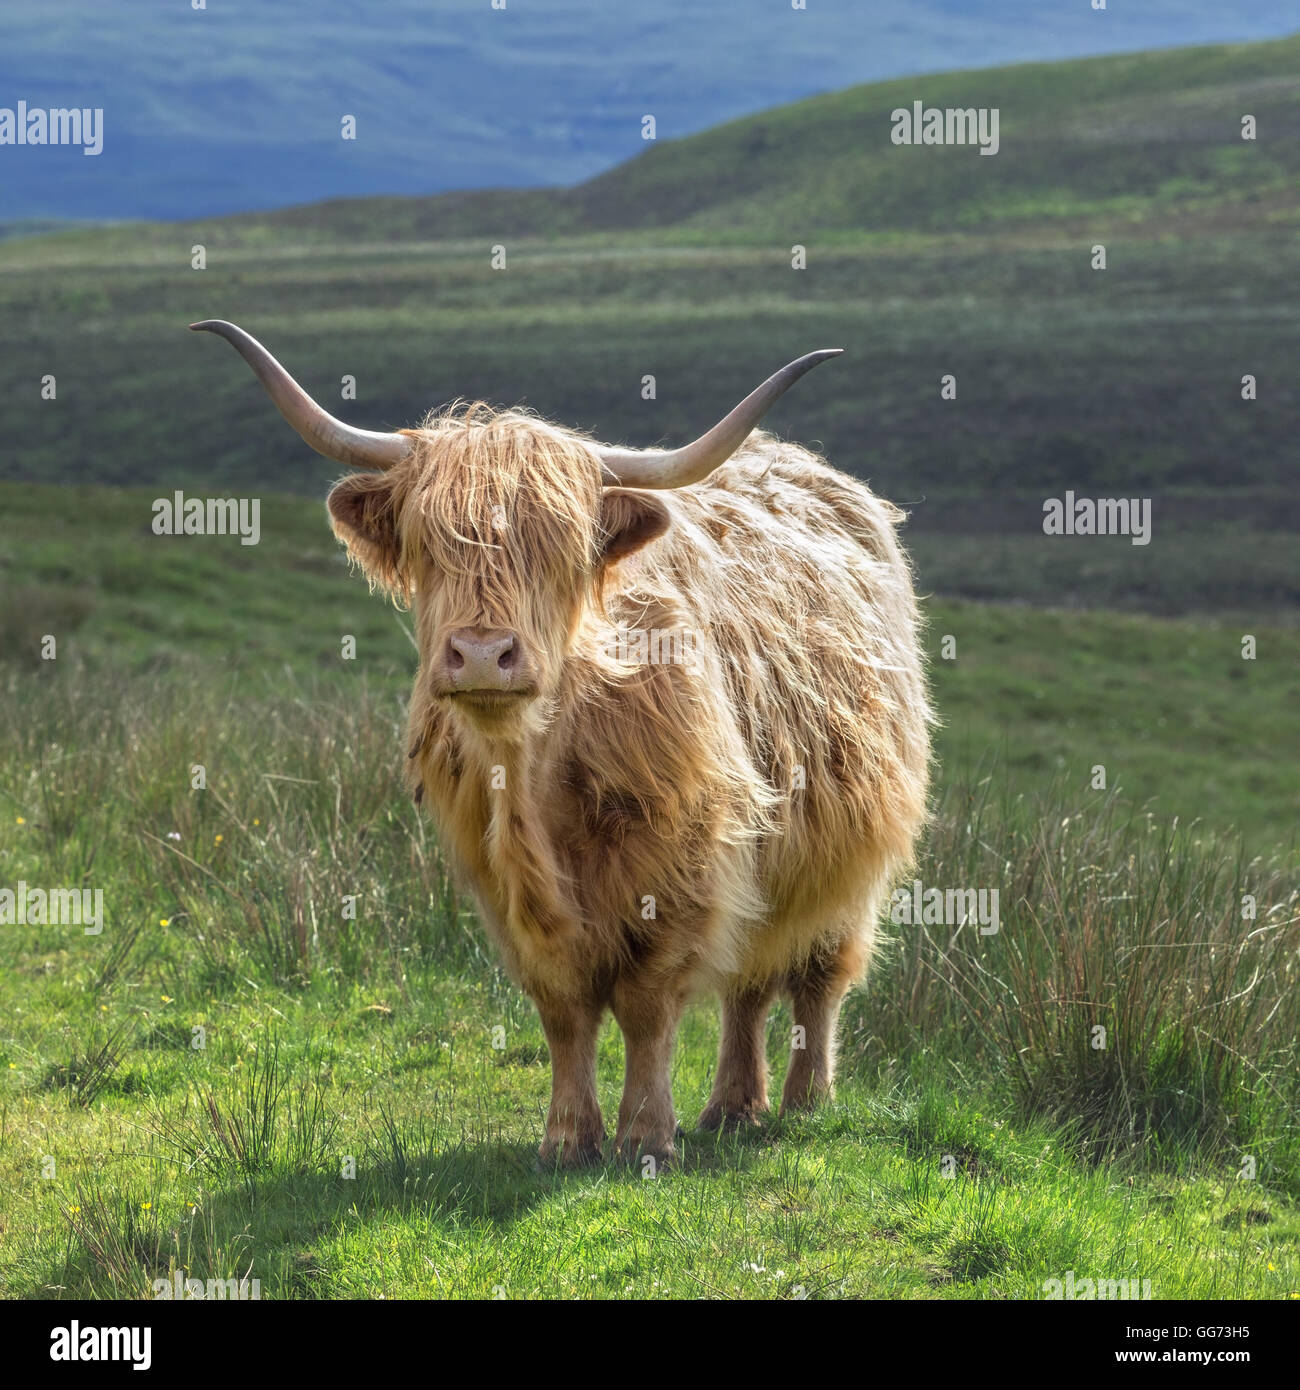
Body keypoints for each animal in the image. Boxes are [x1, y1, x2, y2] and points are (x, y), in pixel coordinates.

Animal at [193, 320, 932, 1165]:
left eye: (560, 547)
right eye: (427, 542)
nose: (484, 654)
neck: (540, 779)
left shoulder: (682, 870)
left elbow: (647, 1006)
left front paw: (646, 1136)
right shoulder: (510, 893)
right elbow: (563, 1010)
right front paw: (568, 1137)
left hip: (848, 847)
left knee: (815, 977)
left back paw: (805, 1104)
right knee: (749, 985)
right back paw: (732, 1108)